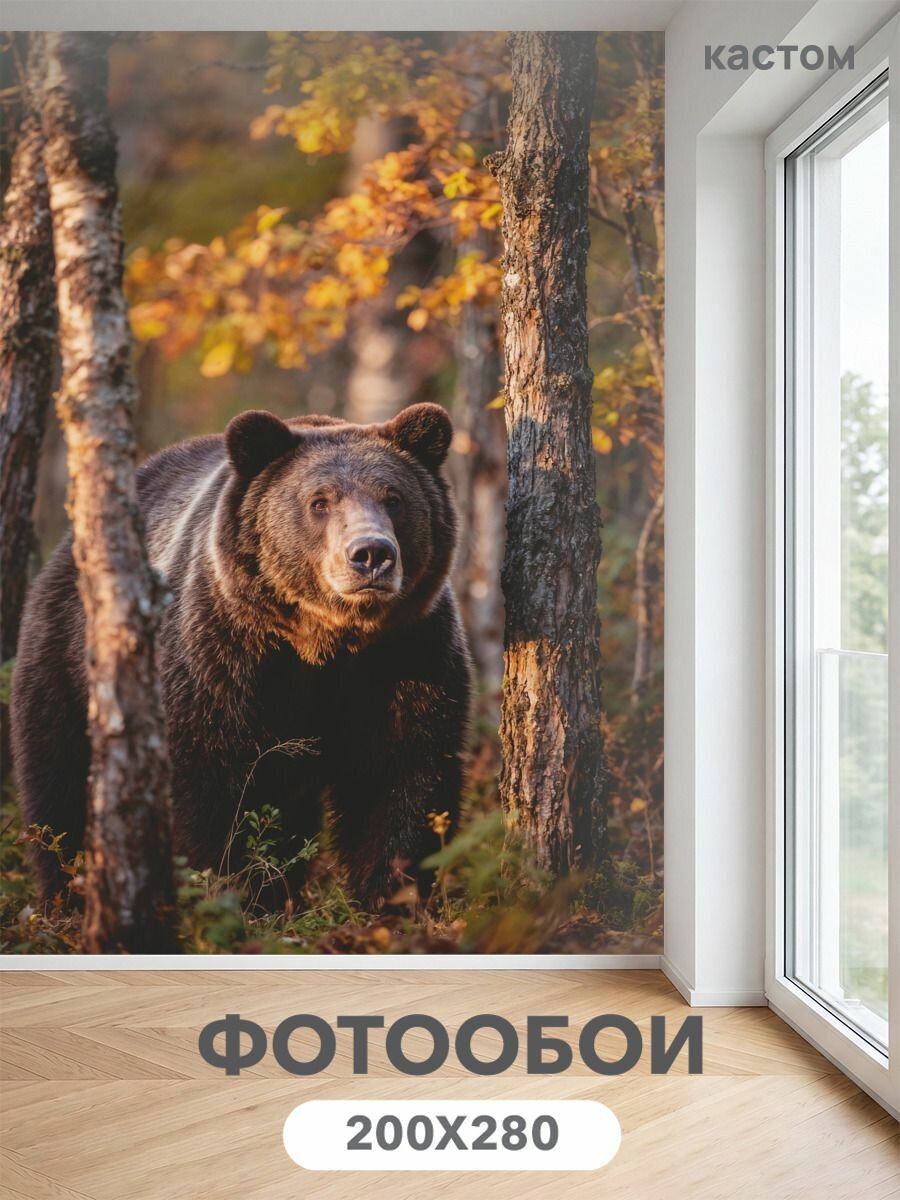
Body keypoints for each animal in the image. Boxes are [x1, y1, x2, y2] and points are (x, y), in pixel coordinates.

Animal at [10, 402, 472, 911]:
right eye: (319, 502)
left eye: (393, 498)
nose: (371, 554)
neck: (325, 641)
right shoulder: (222, 657)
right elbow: (216, 787)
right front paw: (240, 891)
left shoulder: (407, 653)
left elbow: (401, 772)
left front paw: (391, 895)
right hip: (65, 659)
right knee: (57, 779)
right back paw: (64, 893)